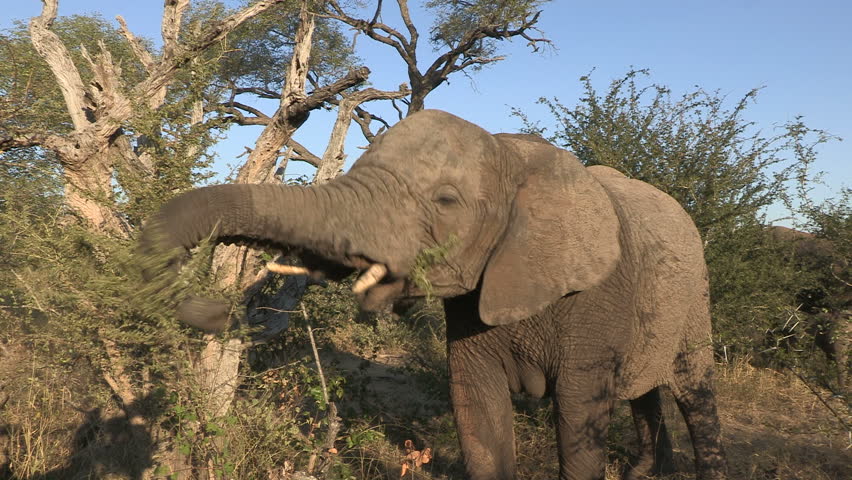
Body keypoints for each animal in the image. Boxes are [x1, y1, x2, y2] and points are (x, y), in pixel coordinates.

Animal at [138, 110, 727, 480]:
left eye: (445, 201)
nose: (222, 308)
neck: (515, 156)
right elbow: (479, 414)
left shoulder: (593, 299)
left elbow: (579, 422)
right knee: (645, 390)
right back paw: (646, 471)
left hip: (696, 291)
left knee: (694, 390)